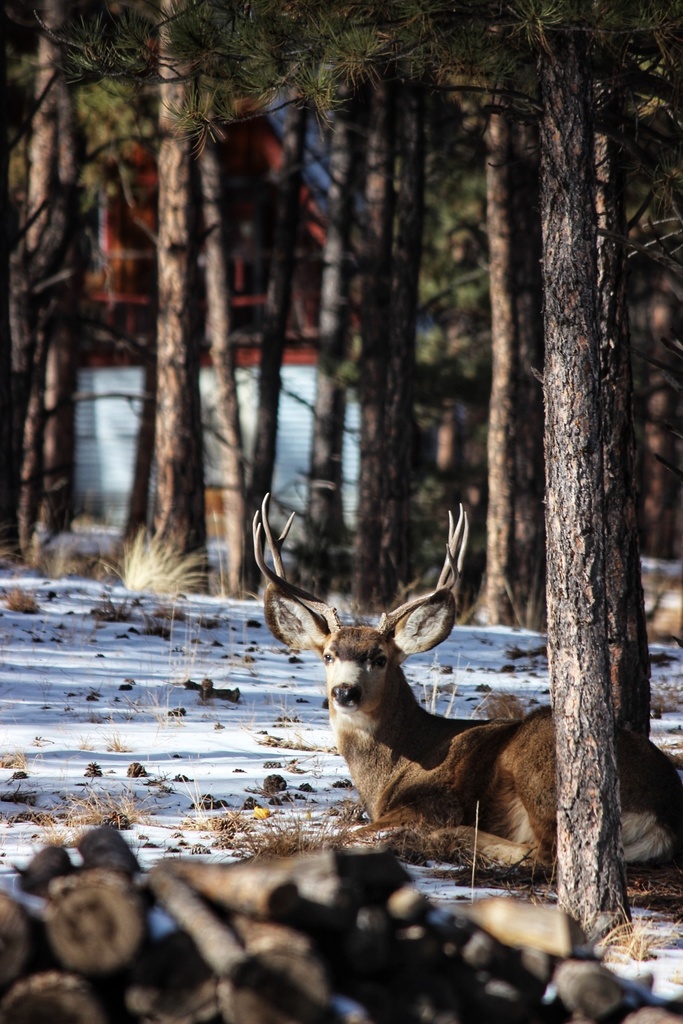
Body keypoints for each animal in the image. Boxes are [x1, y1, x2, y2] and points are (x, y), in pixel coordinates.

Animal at [253, 494, 683, 867]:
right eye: (328, 655)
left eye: (379, 658)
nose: (345, 691)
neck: (392, 767)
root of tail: (665, 811)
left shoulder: (434, 800)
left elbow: (348, 833)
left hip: (538, 763)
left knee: (549, 853)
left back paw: (449, 839)